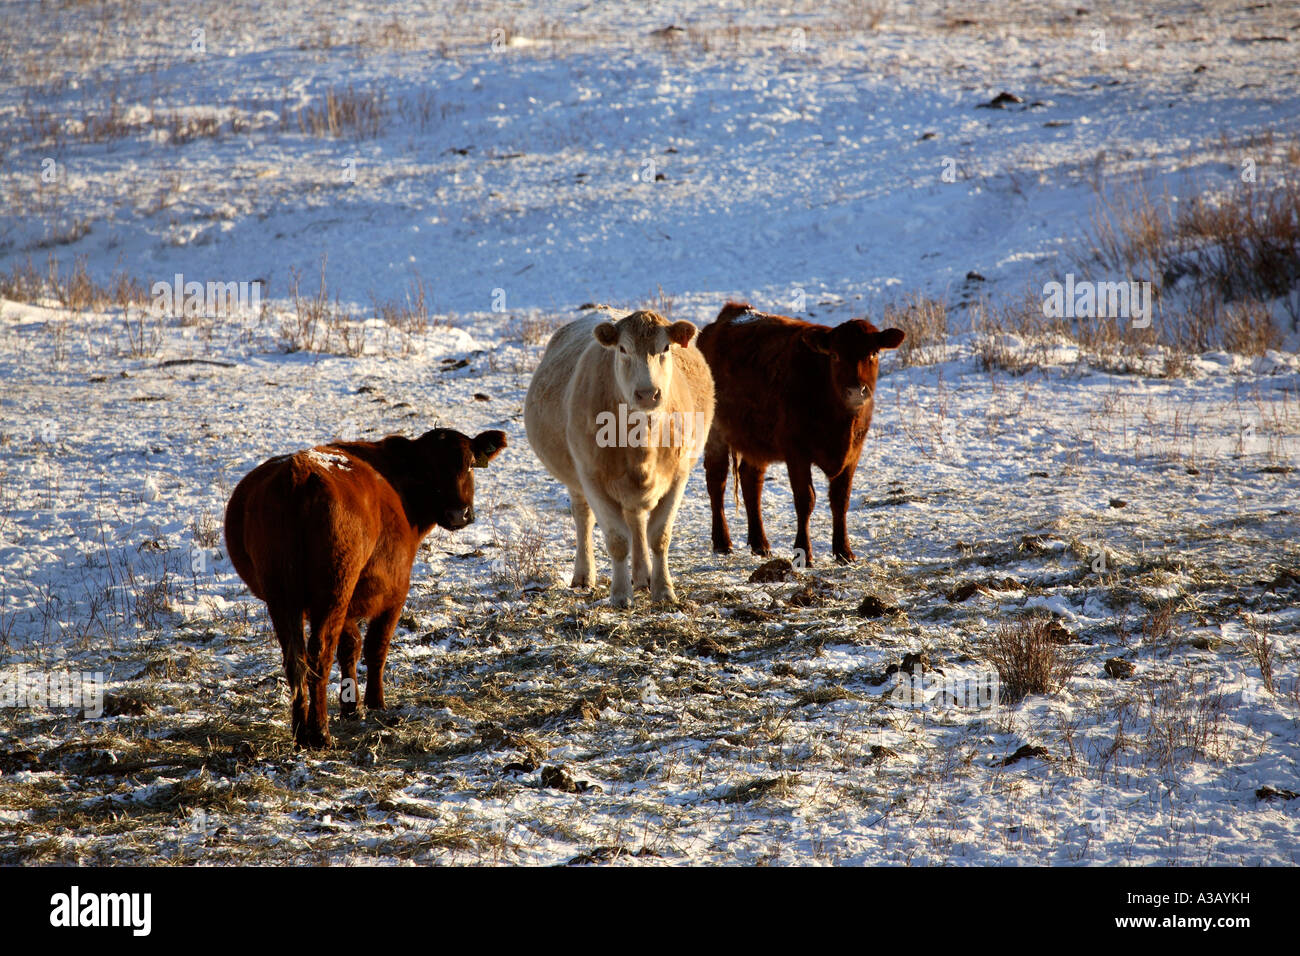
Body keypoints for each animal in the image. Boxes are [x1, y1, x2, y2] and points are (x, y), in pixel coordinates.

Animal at [224, 427, 507, 748]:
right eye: (430, 469)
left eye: (470, 464)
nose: (459, 513)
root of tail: (297, 472)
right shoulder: (394, 591)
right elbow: (375, 647)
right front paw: (375, 703)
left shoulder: (347, 601)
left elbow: (350, 647)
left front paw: (351, 706)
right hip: (333, 588)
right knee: (320, 654)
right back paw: (320, 733)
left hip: (285, 597)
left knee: (295, 659)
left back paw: (300, 732)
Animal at [525, 310, 714, 607]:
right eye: (623, 349)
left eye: (665, 347)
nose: (648, 393)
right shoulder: (591, 477)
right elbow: (617, 540)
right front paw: (621, 595)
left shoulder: (678, 475)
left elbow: (659, 535)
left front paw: (663, 590)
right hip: (575, 478)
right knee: (583, 516)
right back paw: (584, 575)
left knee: (636, 519)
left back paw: (643, 576)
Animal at [697, 302, 904, 566]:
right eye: (835, 356)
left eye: (874, 353)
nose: (856, 391)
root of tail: (730, 313)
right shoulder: (796, 452)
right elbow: (806, 500)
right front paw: (804, 552)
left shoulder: (853, 454)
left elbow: (840, 500)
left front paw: (844, 551)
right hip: (715, 433)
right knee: (717, 480)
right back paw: (723, 542)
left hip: (755, 440)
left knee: (751, 481)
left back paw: (760, 543)